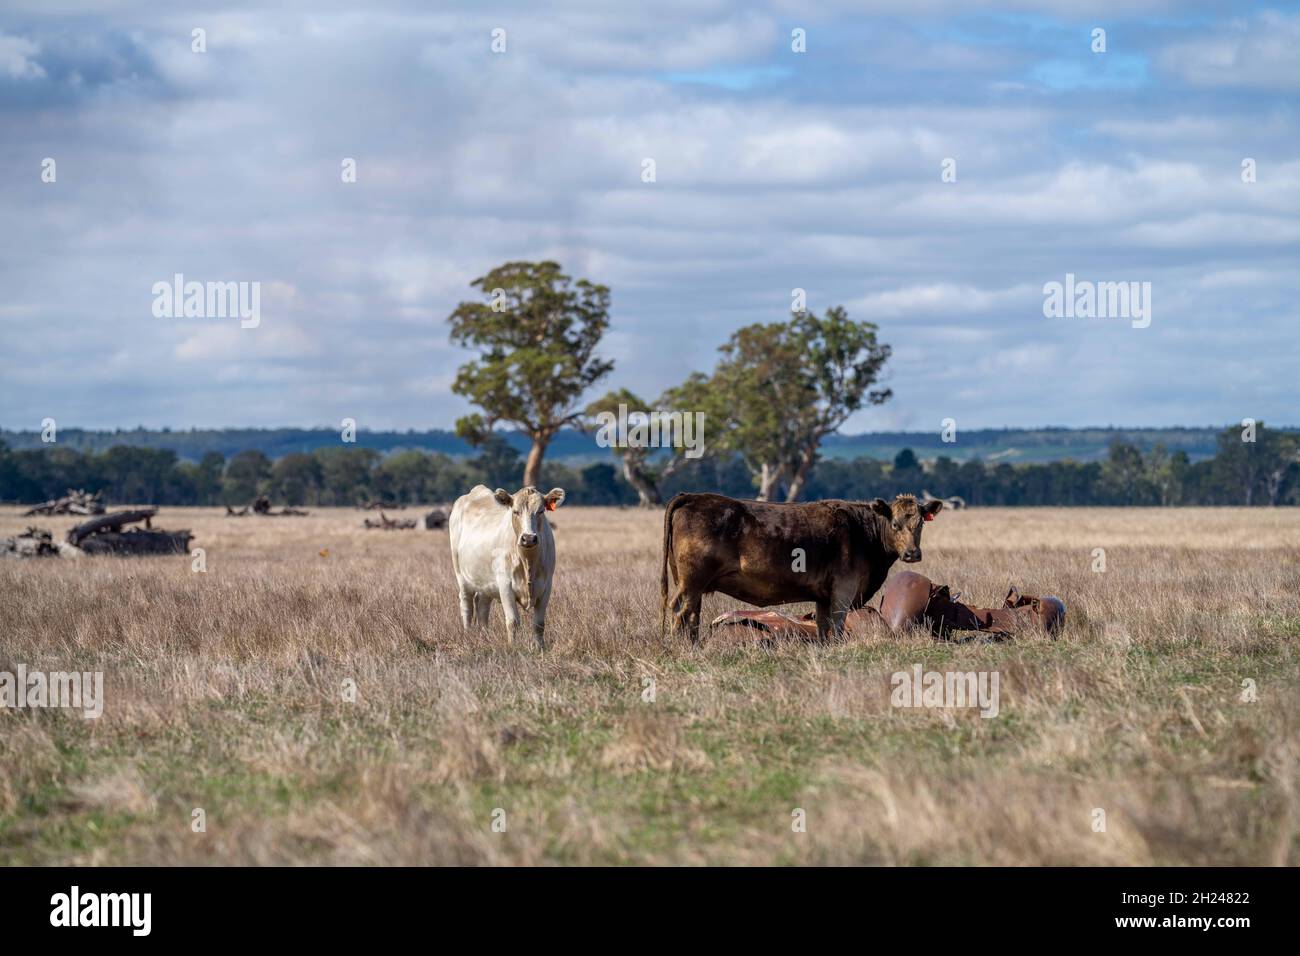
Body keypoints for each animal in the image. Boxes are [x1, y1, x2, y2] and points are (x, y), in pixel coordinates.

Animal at [449, 484, 565, 648]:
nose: (529, 538)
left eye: (541, 511)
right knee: (466, 605)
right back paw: (467, 635)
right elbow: (513, 622)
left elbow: (539, 624)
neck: (528, 562)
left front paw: (539, 647)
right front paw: (513, 647)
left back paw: (485, 637)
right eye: (515, 511)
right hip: (461, 575)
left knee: (482, 607)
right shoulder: (505, 585)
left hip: (485, 583)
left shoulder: (546, 586)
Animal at [660, 492, 942, 644]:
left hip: (692, 585)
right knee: (679, 611)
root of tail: (692, 497)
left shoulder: (823, 596)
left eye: (920, 524)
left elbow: (824, 626)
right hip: (691, 582)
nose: (912, 553)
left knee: (692, 614)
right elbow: (837, 624)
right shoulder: (843, 590)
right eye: (895, 524)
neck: (863, 531)